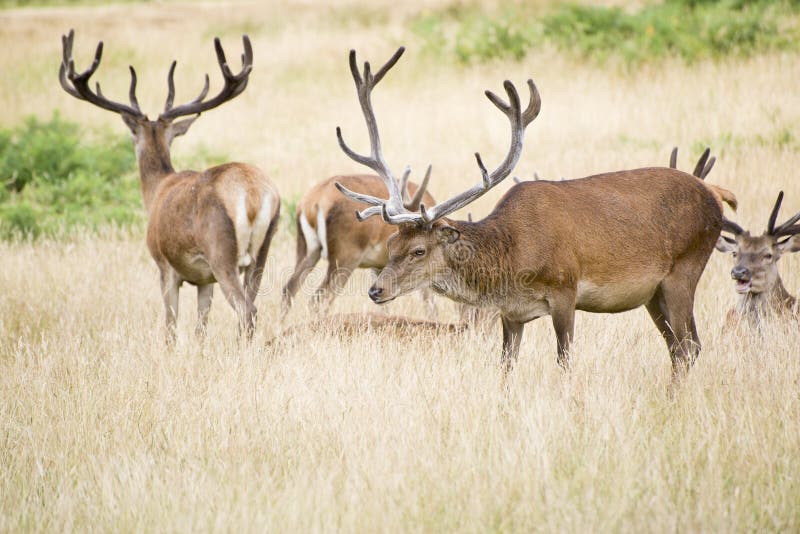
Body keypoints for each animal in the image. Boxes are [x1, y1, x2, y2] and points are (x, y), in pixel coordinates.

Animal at [58, 30, 280, 343]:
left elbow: (170, 327)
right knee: (251, 304)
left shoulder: (164, 266)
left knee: (247, 310)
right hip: (261, 251)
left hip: (221, 251)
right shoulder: (204, 279)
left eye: (133, 136)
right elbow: (200, 328)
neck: (157, 191)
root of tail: (252, 195)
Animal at [281, 168, 435, 317]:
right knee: (320, 298)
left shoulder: (378, 266)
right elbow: (429, 303)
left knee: (289, 288)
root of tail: (314, 202)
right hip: (346, 254)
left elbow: (383, 303)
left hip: (307, 249)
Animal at [334, 46, 733, 380]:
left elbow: (564, 362)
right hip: (654, 293)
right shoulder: (511, 314)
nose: (376, 290)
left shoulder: (565, 290)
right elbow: (506, 368)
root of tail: (714, 198)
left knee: (688, 345)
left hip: (685, 268)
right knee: (679, 347)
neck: (512, 259)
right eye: (391, 246)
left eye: (419, 250)